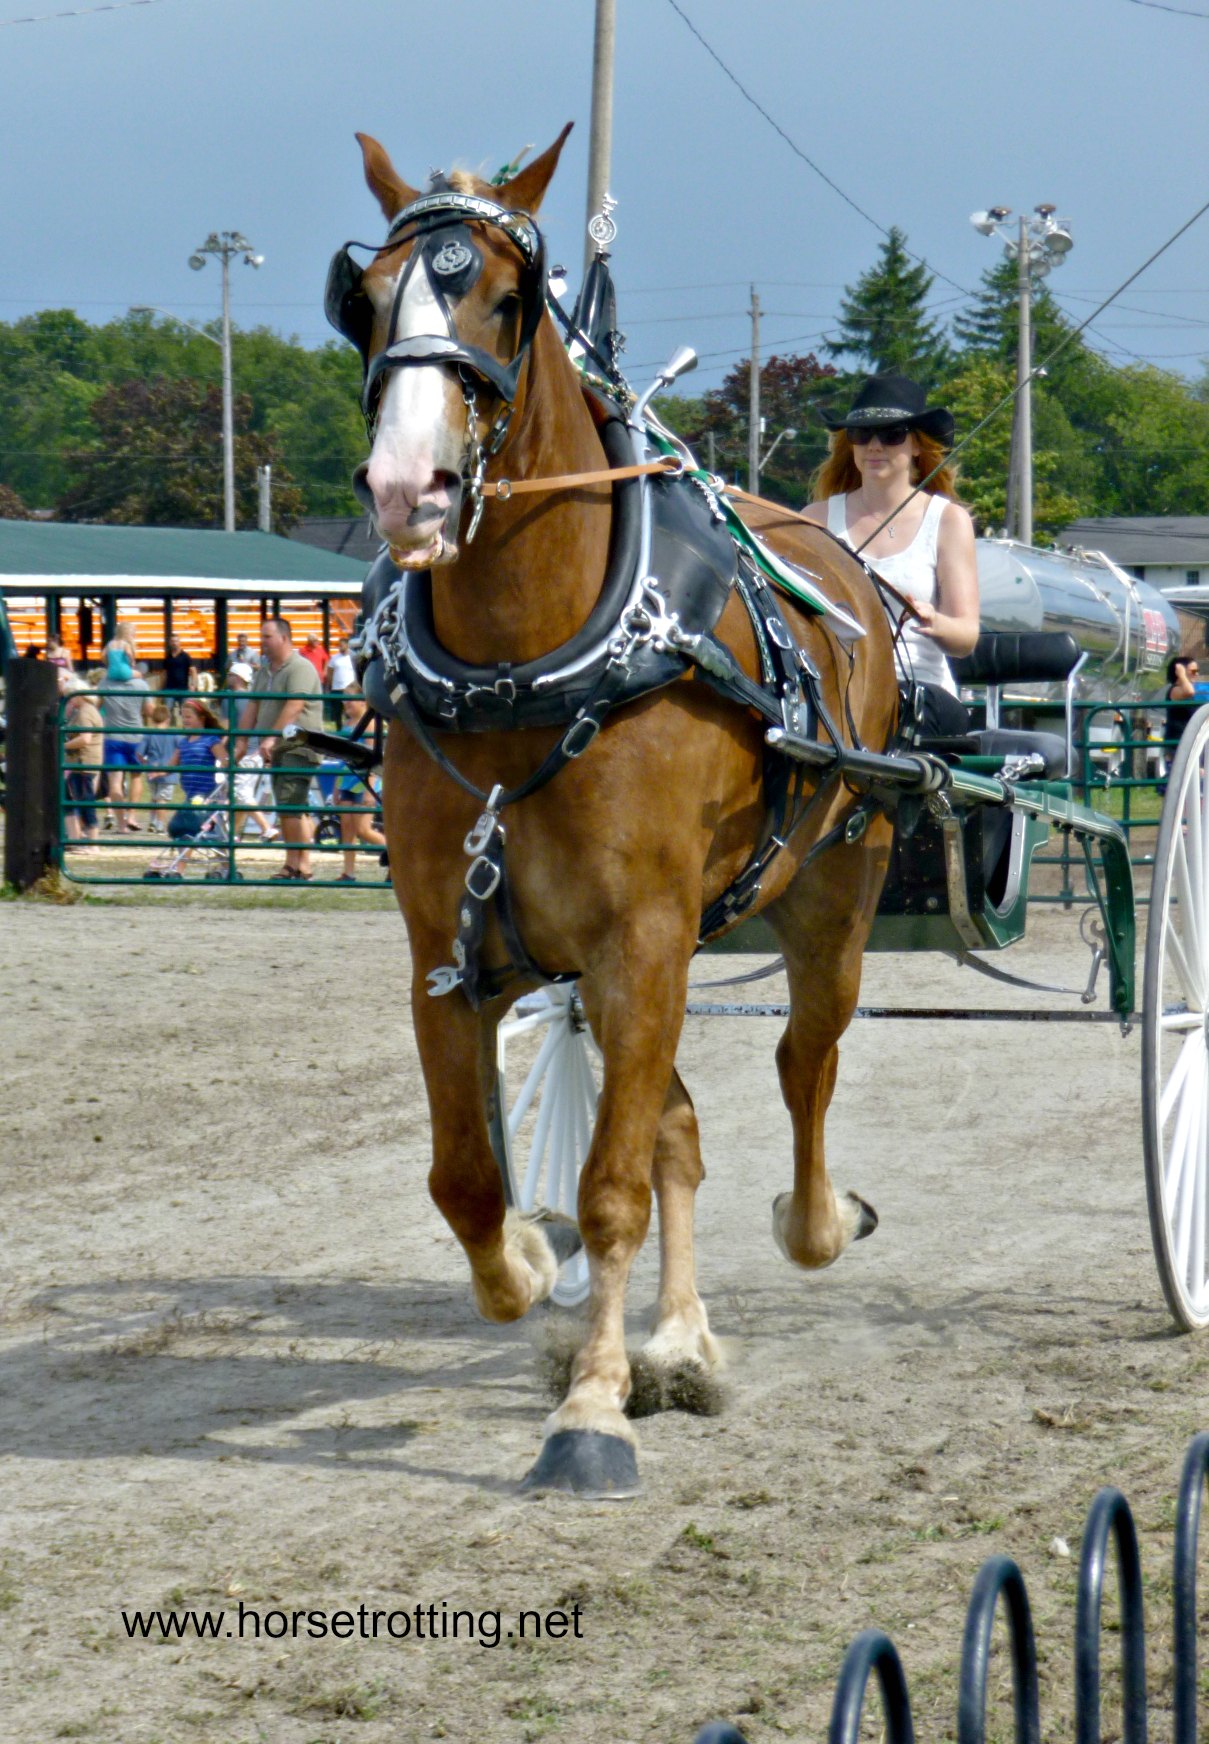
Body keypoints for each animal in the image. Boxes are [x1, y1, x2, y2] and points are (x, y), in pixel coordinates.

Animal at [330, 126, 899, 1498]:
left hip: (828, 892)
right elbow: (471, 1176)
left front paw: (590, 1408)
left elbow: (610, 1189)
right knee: (677, 1126)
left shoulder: (642, 939)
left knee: (804, 1062)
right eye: (361, 302)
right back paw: (680, 1341)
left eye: (505, 297)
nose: (410, 490)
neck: (523, 666)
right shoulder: (455, 950)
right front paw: (535, 1281)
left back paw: (809, 1225)